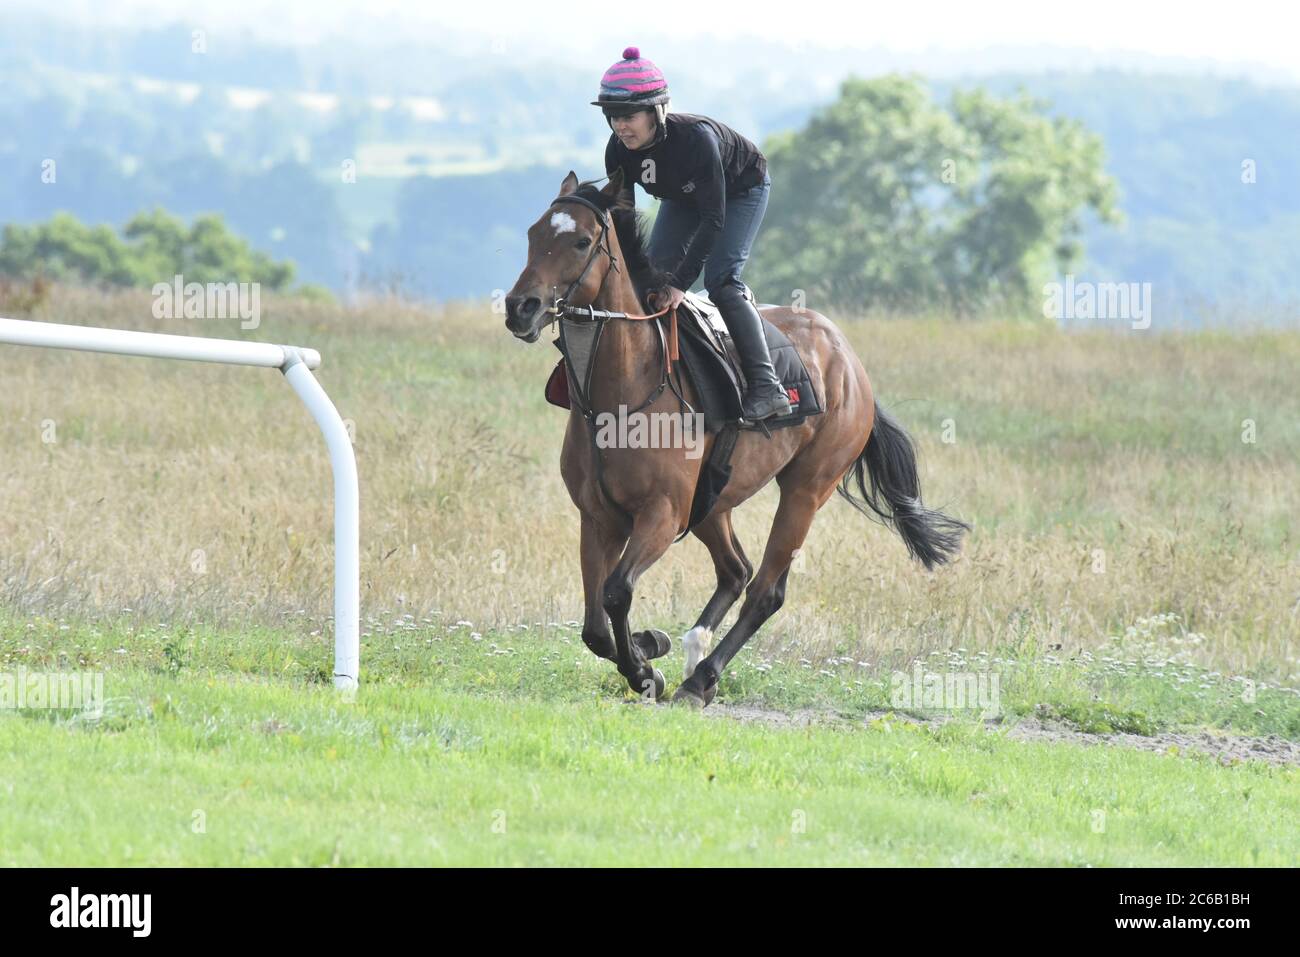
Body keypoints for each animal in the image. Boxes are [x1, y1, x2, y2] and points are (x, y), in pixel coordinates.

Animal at [504, 168, 969, 707]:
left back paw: (700, 677)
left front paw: (645, 669)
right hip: (714, 502)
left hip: (806, 490)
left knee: (764, 588)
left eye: (581, 241)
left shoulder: (662, 513)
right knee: (735, 570)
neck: (619, 393)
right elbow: (595, 626)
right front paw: (649, 647)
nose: (520, 308)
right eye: (533, 234)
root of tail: (852, 364)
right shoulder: (598, 517)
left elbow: (617, 592)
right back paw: (690, 649)